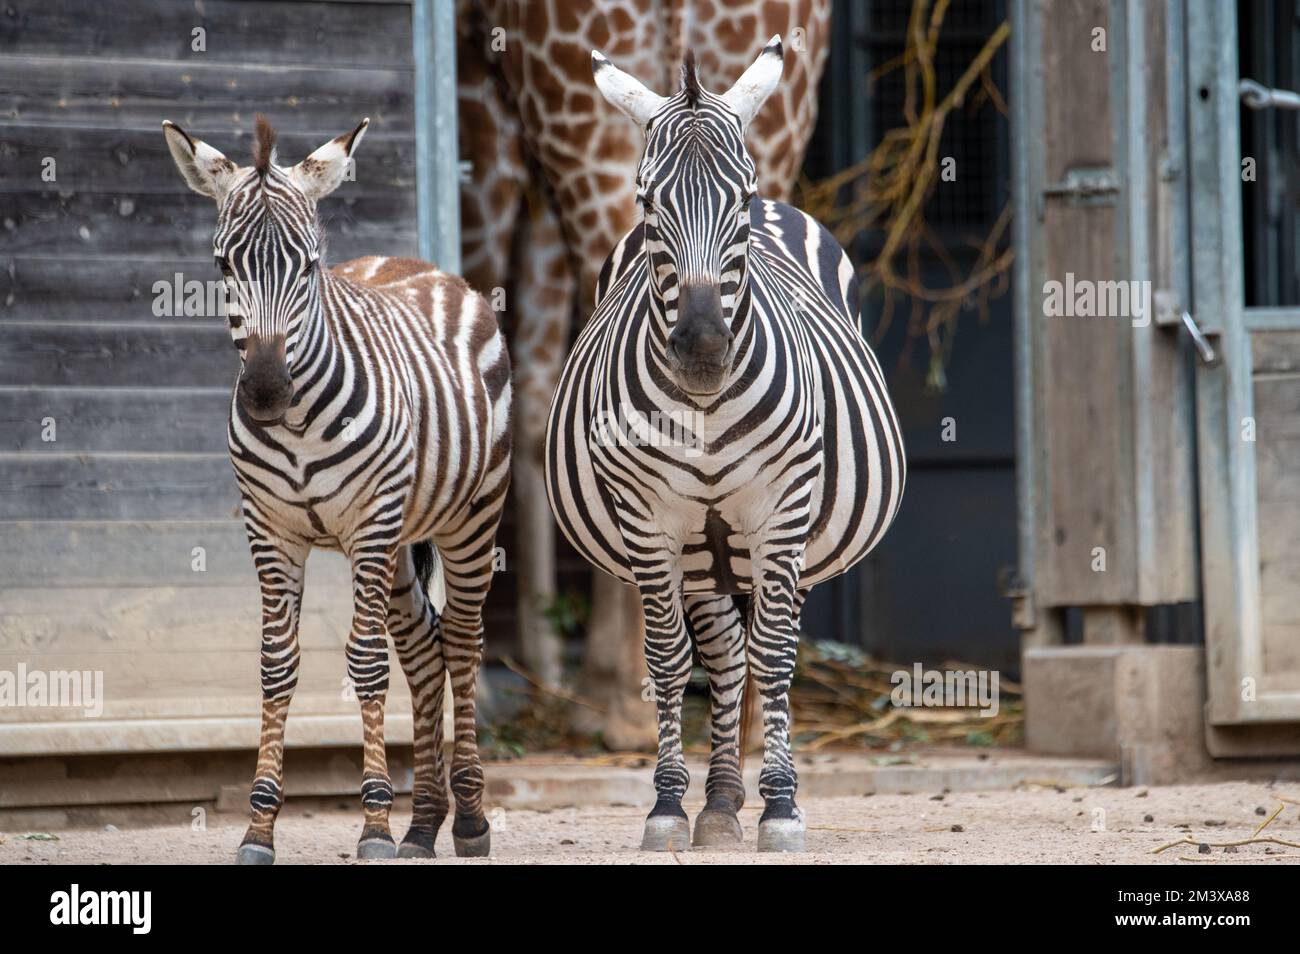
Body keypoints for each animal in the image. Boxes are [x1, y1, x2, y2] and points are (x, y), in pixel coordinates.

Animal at [162, 116, 511, 863]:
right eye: (222, 265)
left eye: (309, 265)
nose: (266, 393)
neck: (297, 426)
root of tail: (415, 263)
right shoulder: (269, 532)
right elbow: (277, 666)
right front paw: (259, 826)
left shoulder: (370, 526)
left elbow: (366, 665)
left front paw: (373, 824)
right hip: (404, 540)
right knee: (424, 647)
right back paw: (422, 825)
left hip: (469, 519)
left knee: (462, 640)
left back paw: (468, 820)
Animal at [545, 38, 905, 852]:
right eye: (648, 203)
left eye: (736, 202)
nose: (704, 350)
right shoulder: (650, 520)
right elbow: (668, 660)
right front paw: (669, 807)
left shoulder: (781, 512)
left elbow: (775, 655)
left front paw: (781, 809)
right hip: (704, 553)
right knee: (724, 655)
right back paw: (719, 802)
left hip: (784, 538)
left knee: (765, 650)